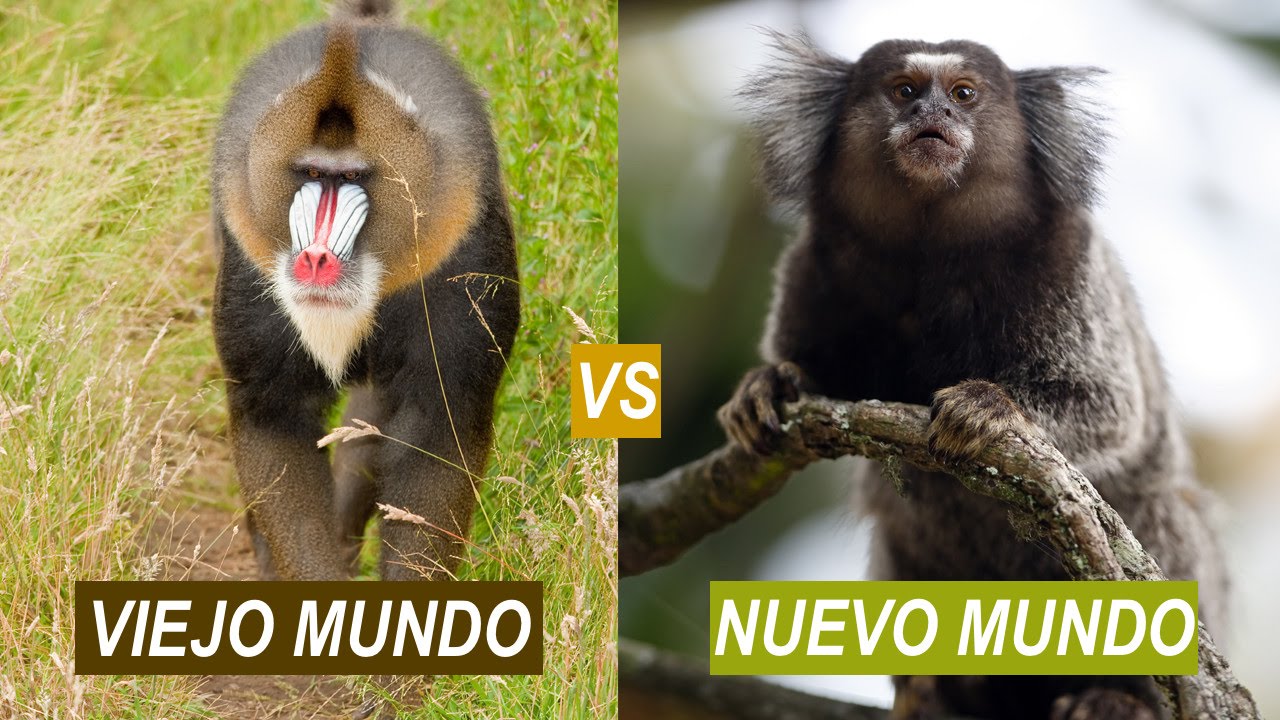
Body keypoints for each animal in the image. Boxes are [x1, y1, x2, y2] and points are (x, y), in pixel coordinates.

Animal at [211, 0, 518, 583]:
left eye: (353, 177)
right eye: (311, 172)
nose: (316, 260)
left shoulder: (458, 276)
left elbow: (430, 440)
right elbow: (273, 422)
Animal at [719, 33, 1226, 720]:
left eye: (963, 94)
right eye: (904, 89)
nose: (931, 113)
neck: (928, 253)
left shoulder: (1069, 262)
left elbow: (1109, 409)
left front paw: (987, 409)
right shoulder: (814, 262)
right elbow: (814, 379)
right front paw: (768, 386)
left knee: (1154, 514)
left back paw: (1118, 698)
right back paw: (940, 687)